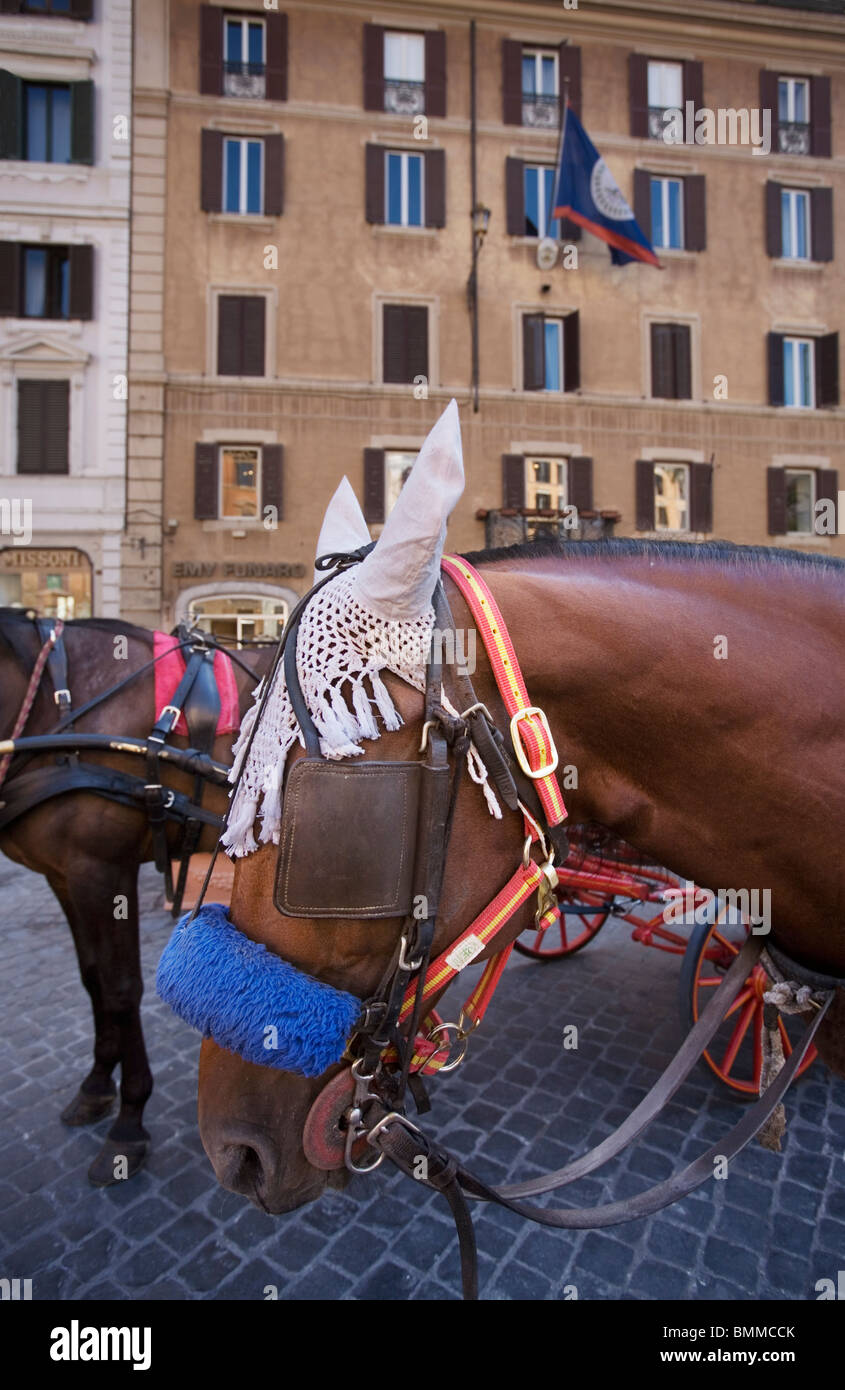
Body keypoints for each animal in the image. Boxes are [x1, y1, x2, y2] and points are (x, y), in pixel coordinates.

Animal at [0, 612, 272, 1184]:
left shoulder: (103, 871)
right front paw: (97, 1083)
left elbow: (123, 989)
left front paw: (128, 1123)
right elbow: (93, 979)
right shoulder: (65, 877)